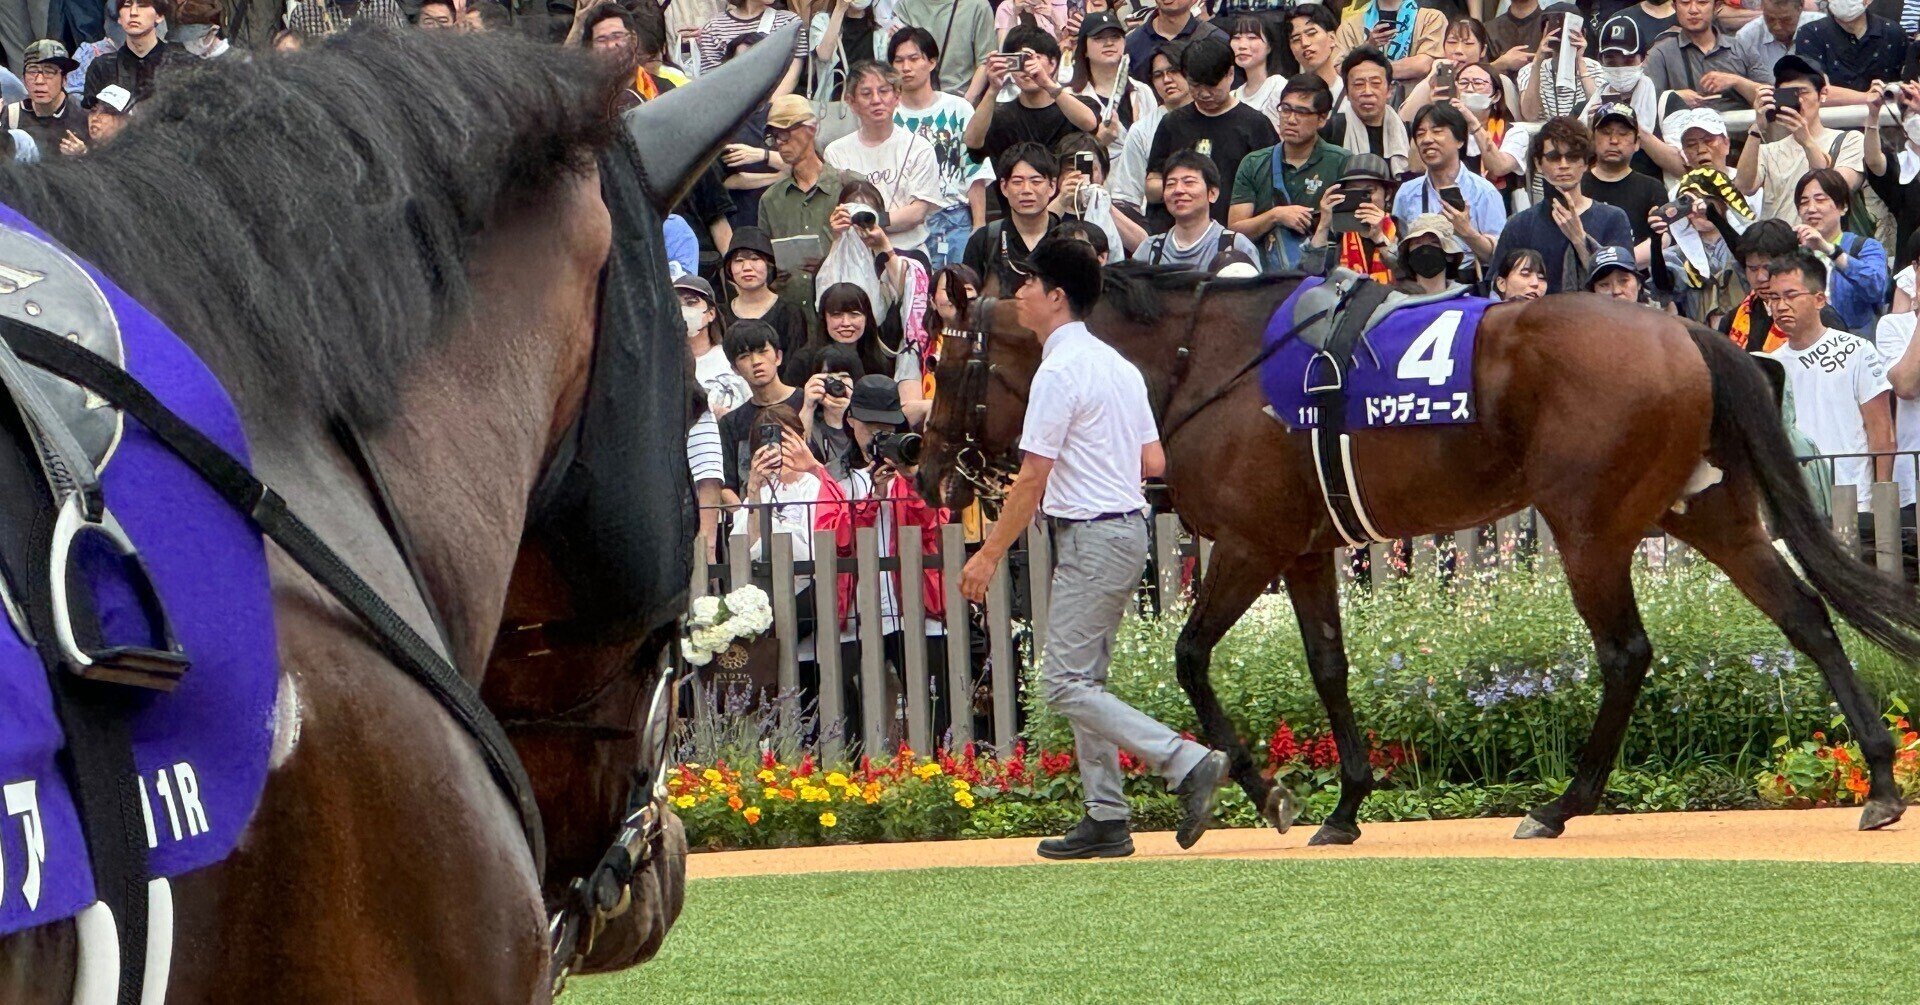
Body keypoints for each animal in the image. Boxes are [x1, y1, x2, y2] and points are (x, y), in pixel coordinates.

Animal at [918, 264, 1920, 846]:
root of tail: (1685, 329)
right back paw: (1878, 778)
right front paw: (1344, 805)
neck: (1210, 357)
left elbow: (1192, 657)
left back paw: (1561, 803)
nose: (922, 465)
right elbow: (1327, 665)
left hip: (1589, 527)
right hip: (1708, 511)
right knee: (1806, 617)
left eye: (949, 360)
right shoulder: (1305, 549)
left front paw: (1259, 790)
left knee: (1625, 652)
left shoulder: (1250, 542)